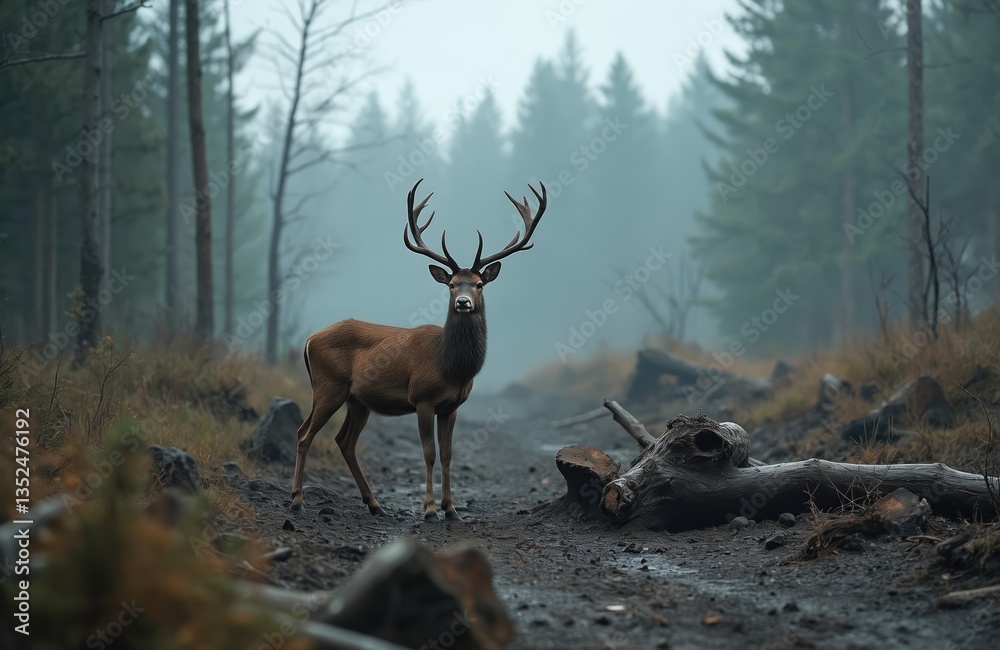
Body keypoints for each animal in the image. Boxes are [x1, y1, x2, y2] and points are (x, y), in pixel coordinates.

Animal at [290, 179, 547, 520]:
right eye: (451, 285)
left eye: (479, 284)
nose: (462, 302)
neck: (452, 366)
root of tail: (309, 340)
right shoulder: (423, 398)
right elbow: (428, 453)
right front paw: (429, 510)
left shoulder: (452, 406)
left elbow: (449, 454)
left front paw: (452, 509)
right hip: (328, 386)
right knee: (304, 433)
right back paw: (297, 500)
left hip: (358, 400)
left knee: (344, 441)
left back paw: (375, 505)